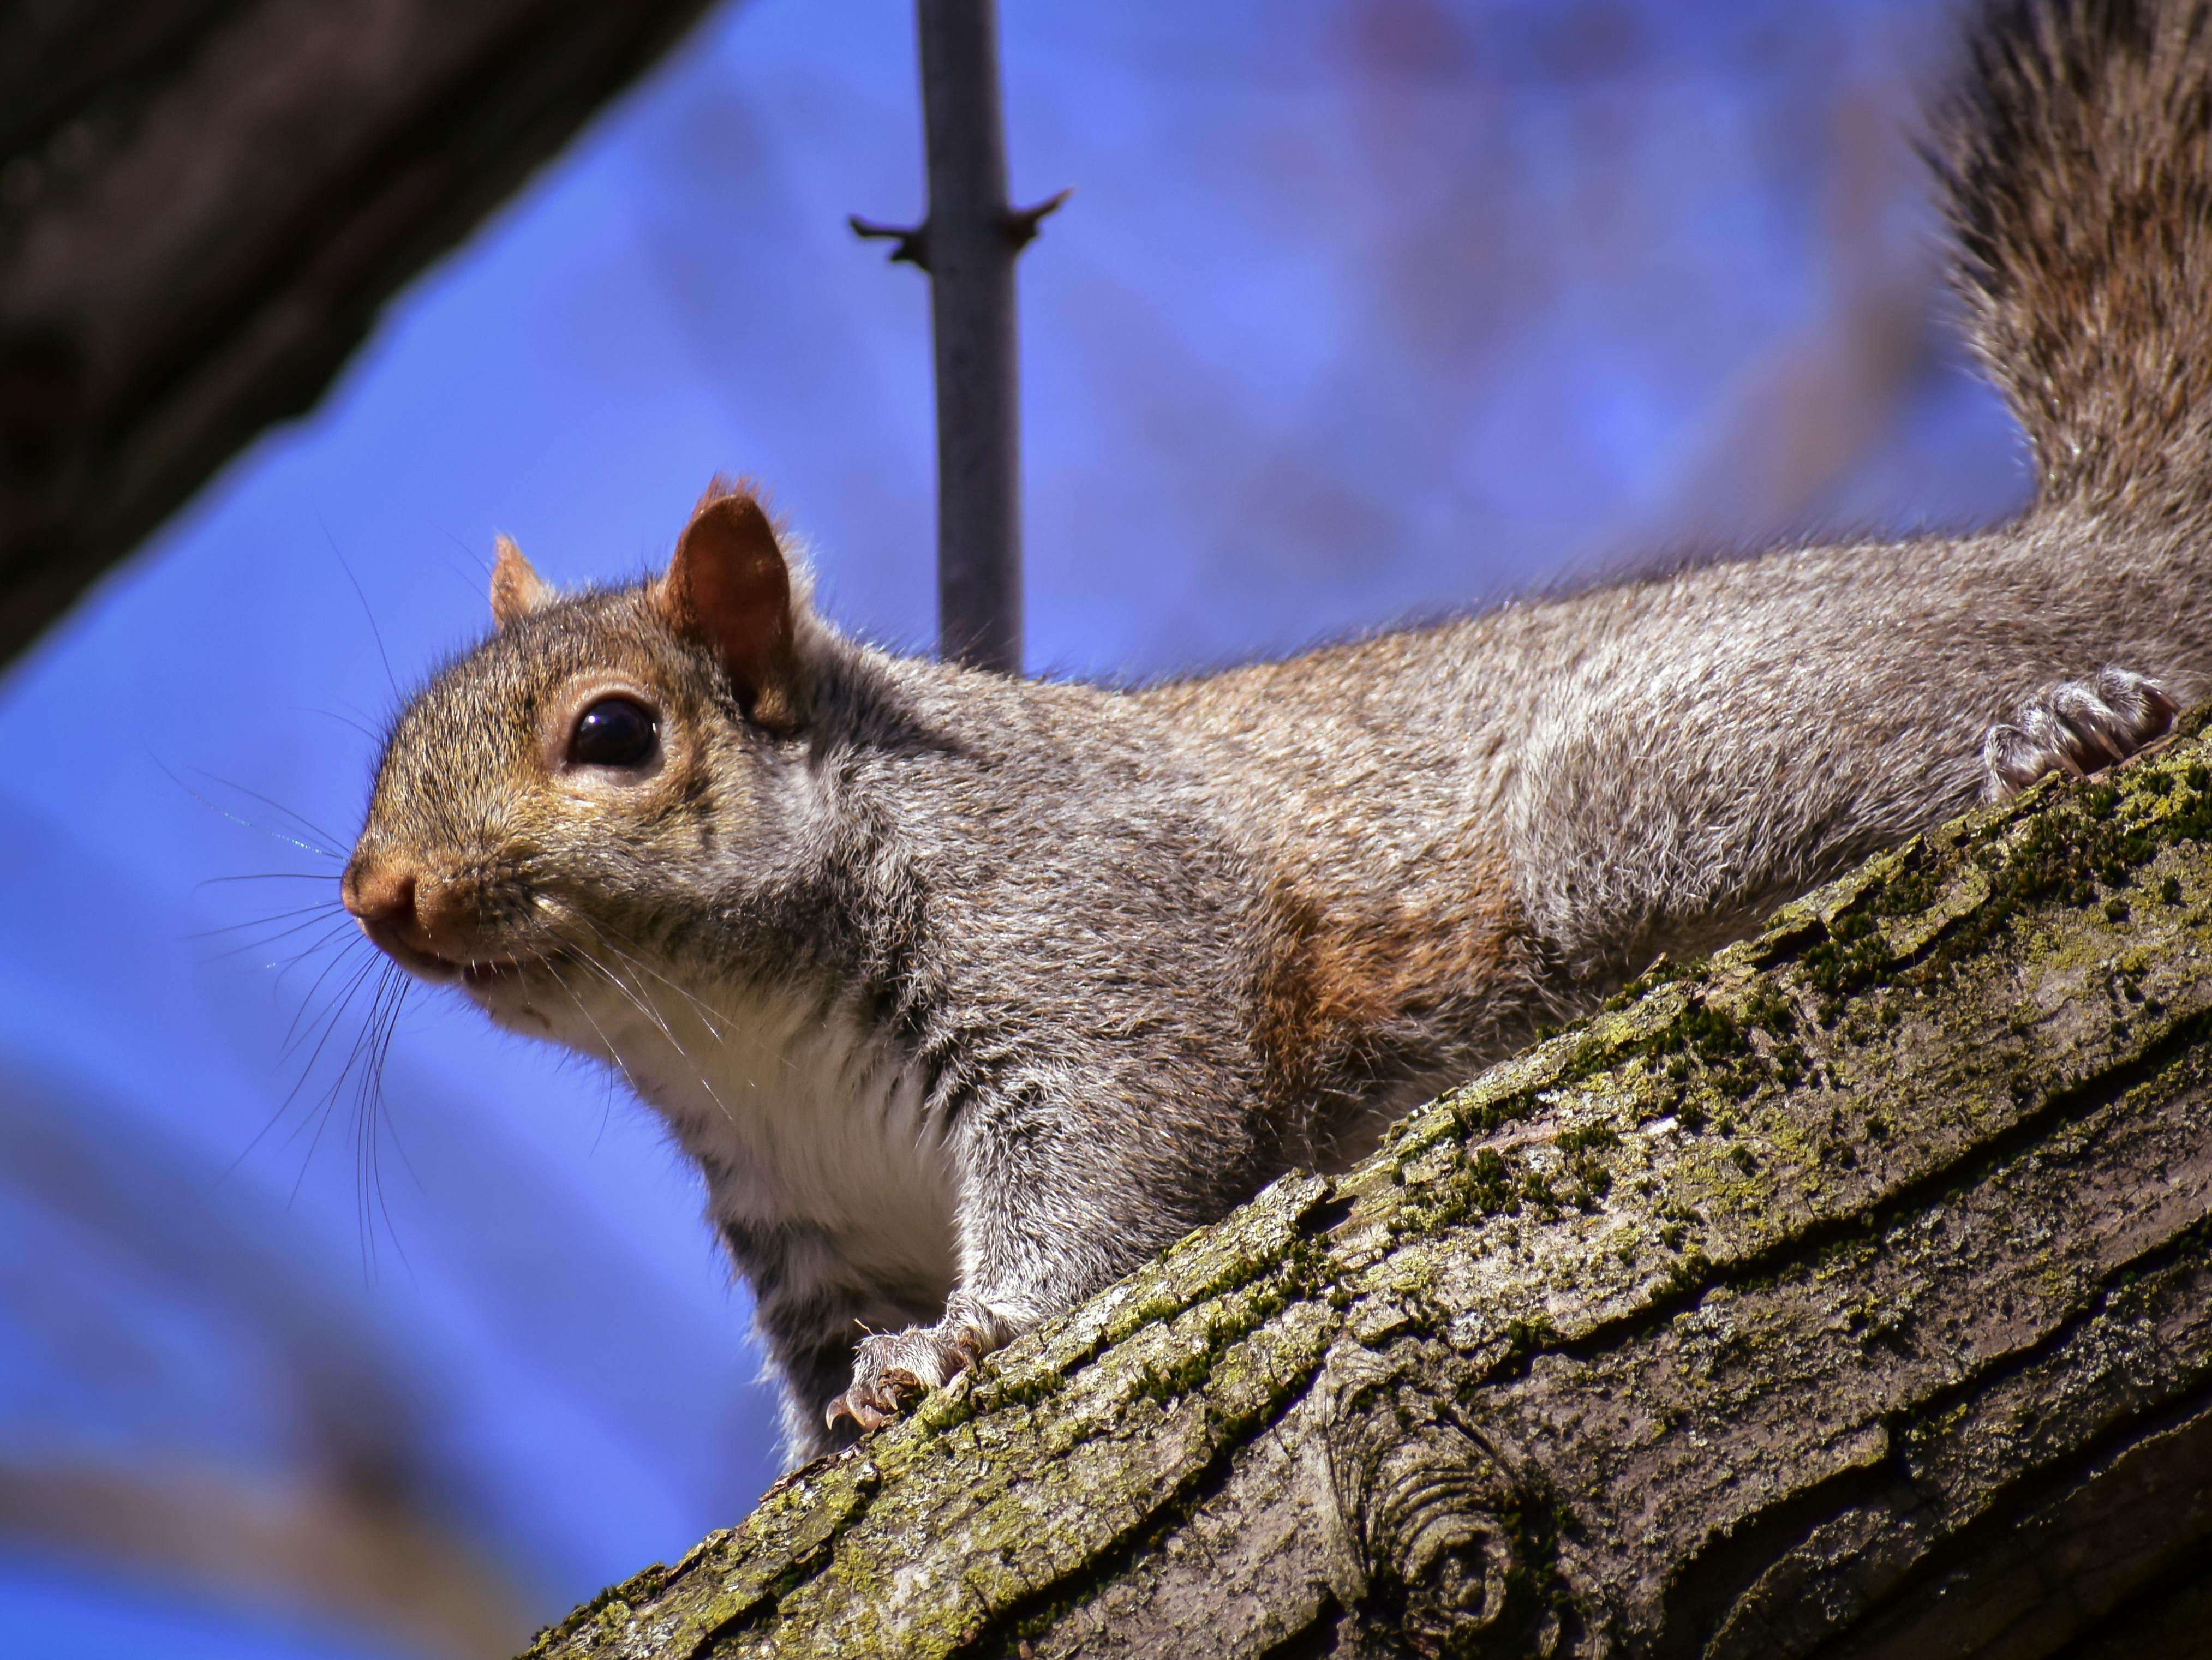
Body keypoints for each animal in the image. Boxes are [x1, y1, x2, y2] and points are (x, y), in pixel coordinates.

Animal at [343, 0, 2212, 1463]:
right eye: (397, 742)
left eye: (610, 733)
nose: (379, 894)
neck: (740, 1030)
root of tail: (2094, 553)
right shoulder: (804, 1232)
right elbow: (815, 1388)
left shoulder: (1094, 938)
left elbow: (1109, 1167)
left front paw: (967, 1338)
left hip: (1649, 792)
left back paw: (2063, 732)